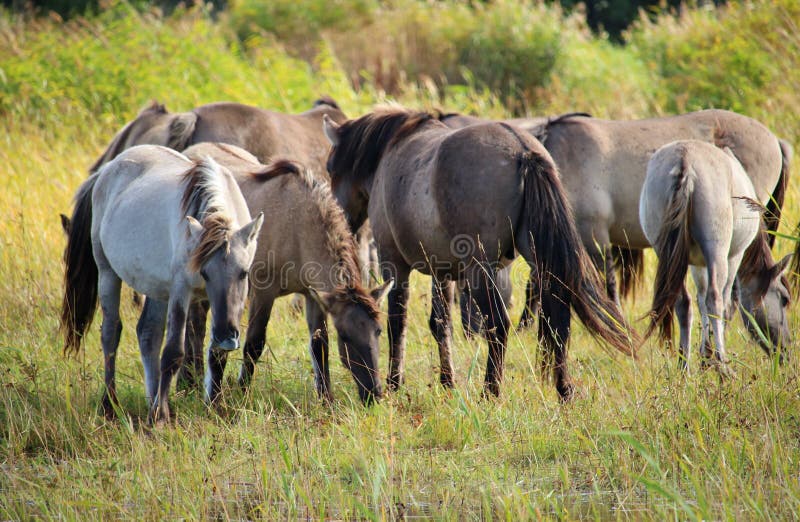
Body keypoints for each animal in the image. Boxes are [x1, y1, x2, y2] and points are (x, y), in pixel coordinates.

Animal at [61, 145, 263, 424]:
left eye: (243, 273)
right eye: (205, 273)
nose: (226, 336)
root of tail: (107, 170)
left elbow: (215, 353)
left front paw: (215, 406)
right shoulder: (181, 290)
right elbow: (173, 352)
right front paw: (160, 417)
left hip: (156, 289)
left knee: (148, 333)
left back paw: (151, 399)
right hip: (108, 273)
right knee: (111, 333)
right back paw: (110, 404)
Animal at [180, 142, 392, 404]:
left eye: (378, 331)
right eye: (344, 335)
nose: (374, 393)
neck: (299, 225)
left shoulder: (313, 296)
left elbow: (319, 345)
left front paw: (326, 399)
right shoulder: (263, 292)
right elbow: (254, 344)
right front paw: (242, 390)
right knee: (194, 329)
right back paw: (189, 380)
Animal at [322, 107, 638, 401]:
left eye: (330, 167)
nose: (338, 218)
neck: (392, 150)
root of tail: (523, 151)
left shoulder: (395, 265)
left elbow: (396, 324)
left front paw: (394, 383)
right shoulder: (442, 271)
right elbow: (440, 324)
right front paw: (447, 381)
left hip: (481, 271)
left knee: (498, 326)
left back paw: (491, 390)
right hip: (539, 262)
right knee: (556, 320)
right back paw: (563, 389)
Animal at [640, 141, 792, 373]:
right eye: (784, 299)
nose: (785, 351)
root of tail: (684, 161)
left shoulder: (698, 265)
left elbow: (700, 301)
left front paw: (705, 355)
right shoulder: (734, 256)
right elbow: (725, 303)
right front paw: (712, 357)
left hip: (666, 252)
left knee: (682, 301)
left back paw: (684, 367)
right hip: (718, 252)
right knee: (715, 299)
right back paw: (723, 366)